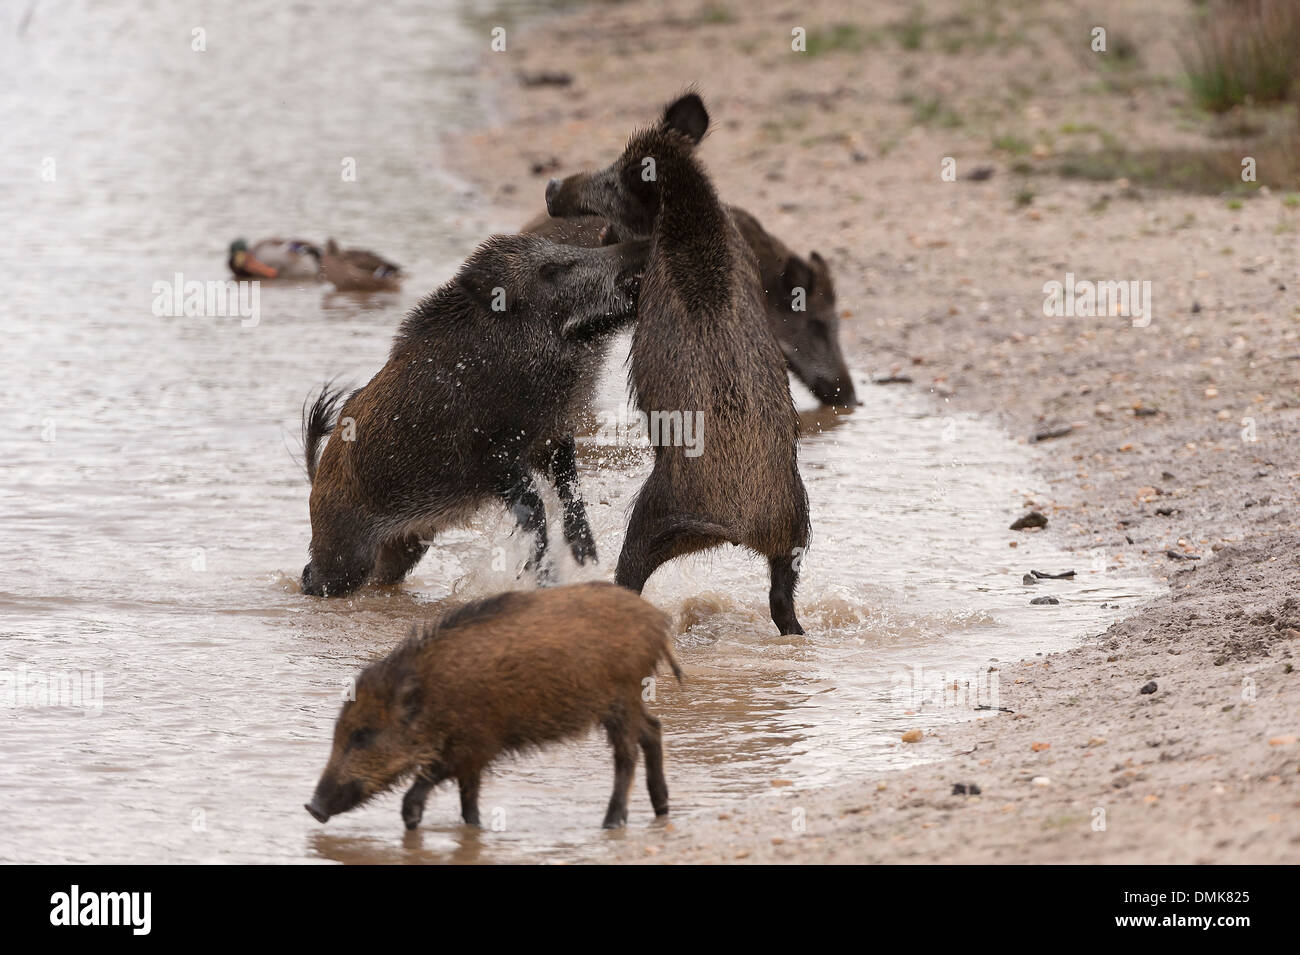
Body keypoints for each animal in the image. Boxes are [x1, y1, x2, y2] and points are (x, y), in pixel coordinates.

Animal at [300, 234, 648, 597]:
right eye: (551, 270)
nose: (640, 246)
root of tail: (316, 477)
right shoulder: (495, 457)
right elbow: (536, 511)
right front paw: (546, 579)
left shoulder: (552, 437)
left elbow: (571, 491)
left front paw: (586, 557)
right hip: (343, 551)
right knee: (313, 574)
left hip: (405, 544)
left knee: (382, 575)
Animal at [303, 582, 681, 830]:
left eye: (363, 735)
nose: (312, 807)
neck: (435, 694)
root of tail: (658, 622)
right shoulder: (470, 751)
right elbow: (468, 799)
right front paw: (474, 828)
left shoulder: (478, 742)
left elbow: (434, 781)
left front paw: (412, 818)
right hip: (626, 703)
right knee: (653, 729)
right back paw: (661, 808)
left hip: (622, 700)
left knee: (627, 755)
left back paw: (611, 823)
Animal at [544, 92, 811, 635]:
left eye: (615, 178)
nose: (552, 186)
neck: (686, 209)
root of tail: (737, 527)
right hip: (799, 524)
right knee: (782, 598)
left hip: (655, 511)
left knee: (630, 572)